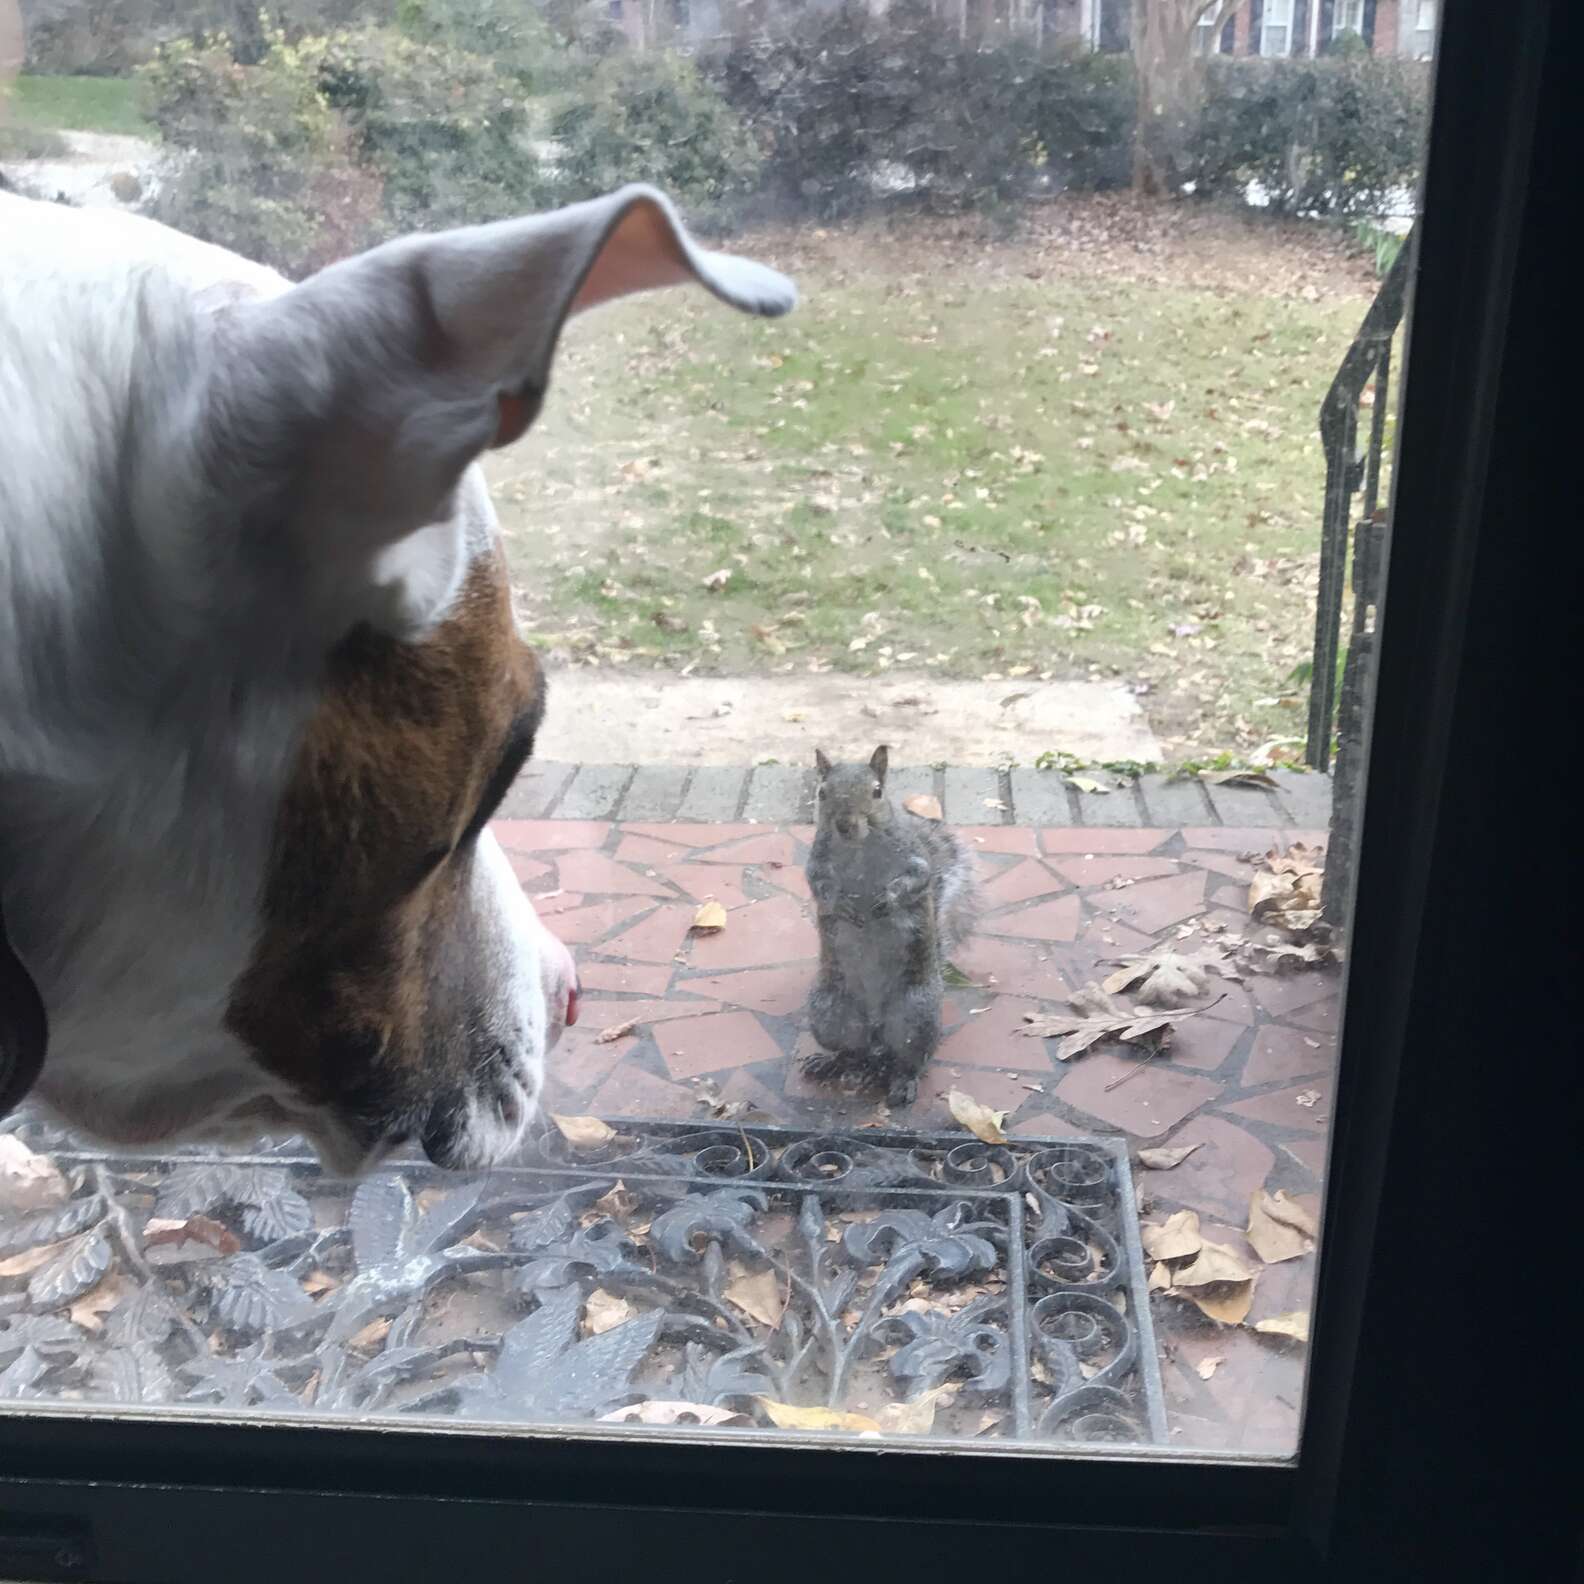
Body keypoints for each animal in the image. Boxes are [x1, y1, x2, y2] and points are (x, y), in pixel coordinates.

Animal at [803, 745, 980, 1106]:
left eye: (876, 792)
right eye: (822, 792)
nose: (844, 824)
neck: (858, 847)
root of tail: (875, 1032)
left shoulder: (912, 857)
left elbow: (917, 878)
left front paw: (887, 900)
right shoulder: (817, 861)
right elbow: (819, 885)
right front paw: (842, 906)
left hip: (916, 1017)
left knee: (911, 1060)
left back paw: (903, 1082)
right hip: (829, 1011)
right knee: (852, 1051)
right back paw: (830, 1062)